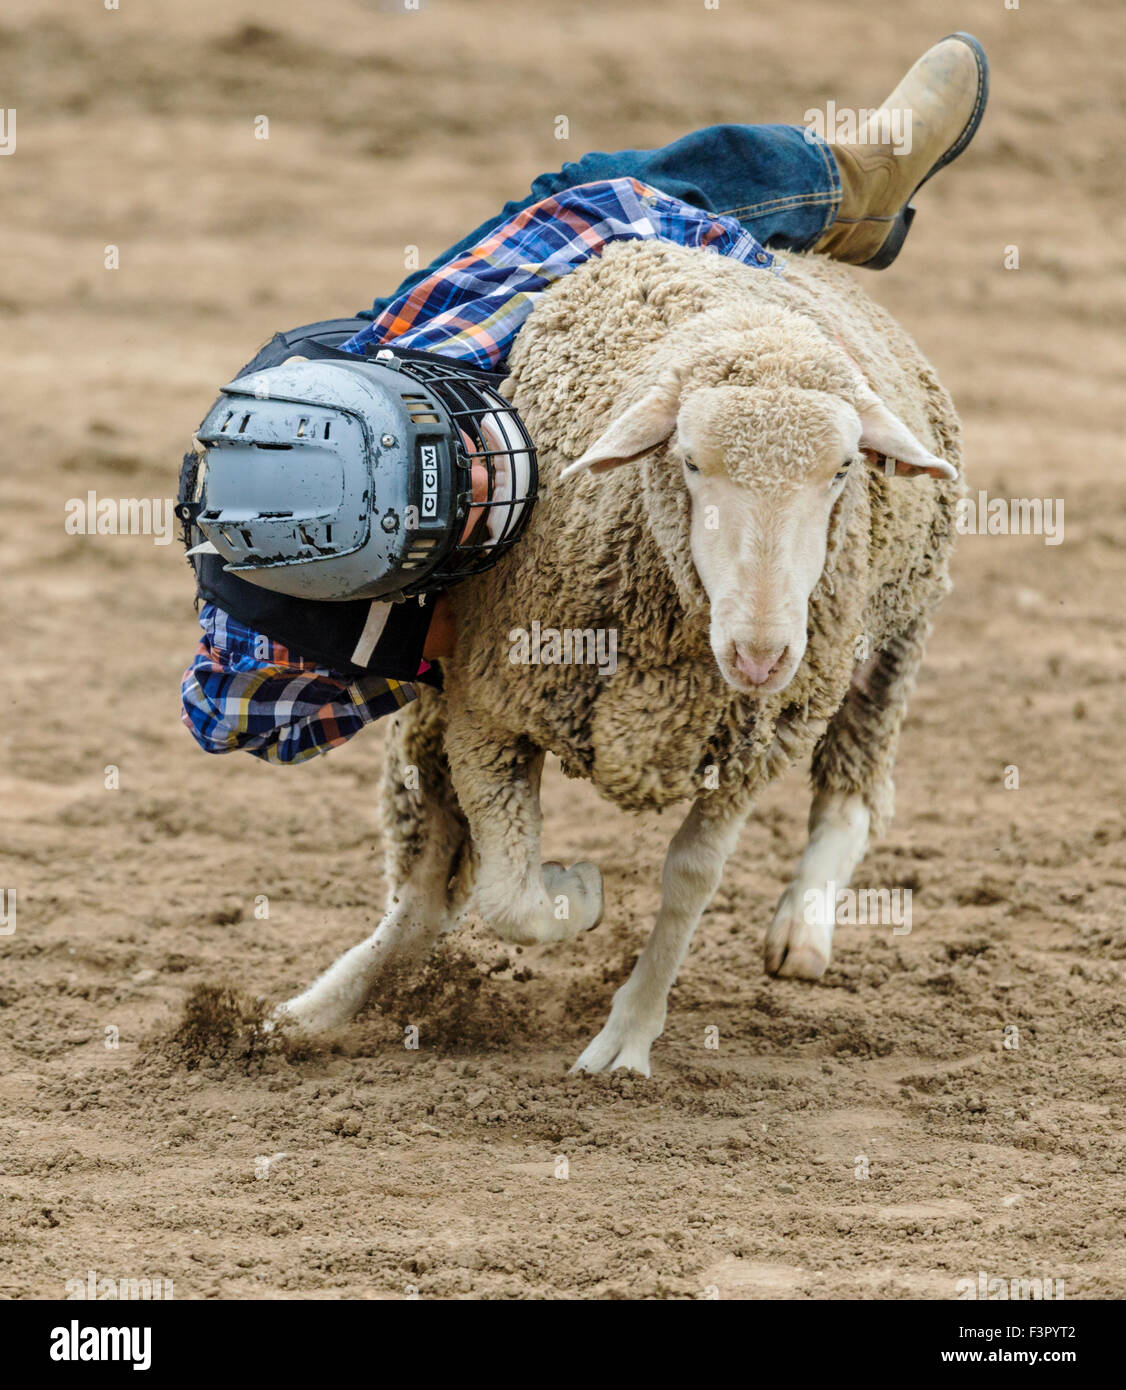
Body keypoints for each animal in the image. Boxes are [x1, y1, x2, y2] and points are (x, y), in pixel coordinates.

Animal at [274, 236, 963, 1075]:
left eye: (840, 470)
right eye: (691, 462)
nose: (761, 655)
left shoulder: (750, 745)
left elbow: (690, 880)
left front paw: (627, 1036)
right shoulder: (489, 711)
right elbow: (508, 898)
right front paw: (578, 893)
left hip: (893, 640)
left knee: (854, 796)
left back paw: (802, 928)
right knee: (425, 884)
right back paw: (311, 1010)